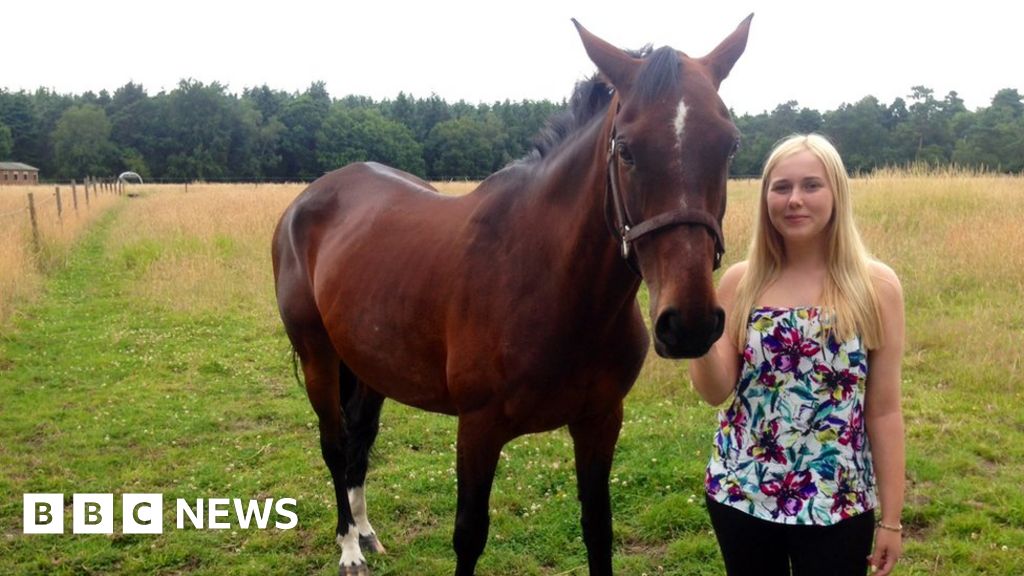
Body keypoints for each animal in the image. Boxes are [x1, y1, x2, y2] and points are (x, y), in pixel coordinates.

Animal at [272, 16, 752, 576]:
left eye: (729, 145)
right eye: (627, 149)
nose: (690, 323)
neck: (553, 286)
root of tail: (307, 199)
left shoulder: (600, 421)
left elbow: (598, 530)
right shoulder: (478, 429)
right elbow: (469, 535)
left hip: (369, 366)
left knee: (360, 441)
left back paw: (366, 532)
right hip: (318, 358)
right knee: (335, 443)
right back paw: (349, 547)